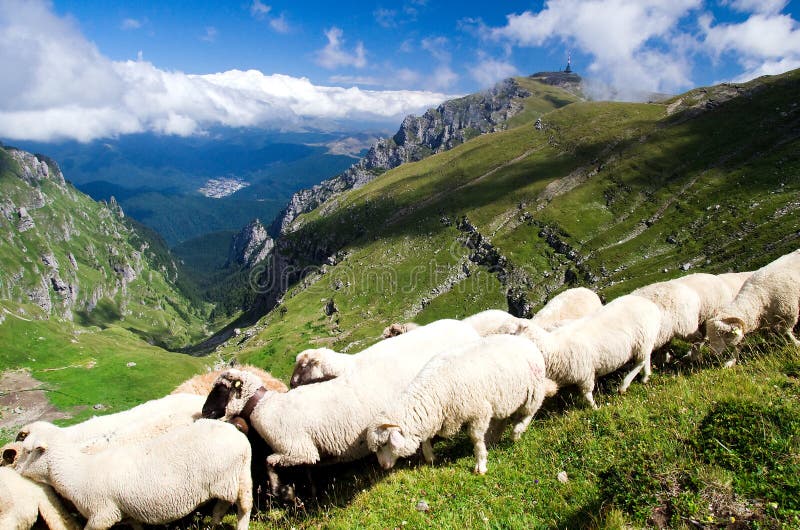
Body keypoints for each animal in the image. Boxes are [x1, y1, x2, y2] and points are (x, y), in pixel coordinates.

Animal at [12, 419, 252, 530]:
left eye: (27, 451)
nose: (14, 470)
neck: (75, 470)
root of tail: (234, 430)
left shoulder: (102, 514)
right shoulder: (127, 514)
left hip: (239, 478)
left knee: (244, 507)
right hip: (231, 479)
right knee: (222, 505)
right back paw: (213, 524)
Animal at [366, 334, 551, 475]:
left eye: (384, 444)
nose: (382, 466)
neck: (434, 391)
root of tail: (525, 340)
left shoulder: (479, 412)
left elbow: (476, 439)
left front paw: (480, 464)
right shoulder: (433, 416)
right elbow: (426, 438)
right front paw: (429, 456)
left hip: (533, 392)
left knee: (528, 413)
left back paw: (516, 433)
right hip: (503, 399)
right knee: (502, 419)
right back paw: (494, 438)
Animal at [516, 294, 662, 409]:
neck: (554, 346)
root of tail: (649, 304)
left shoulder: (584, 374)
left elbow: (587, 394)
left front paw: (595, 408)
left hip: (642, 340)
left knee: (640, 362)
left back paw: (623, 386)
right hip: (645, 341)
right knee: (646, 358)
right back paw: (645, 377)